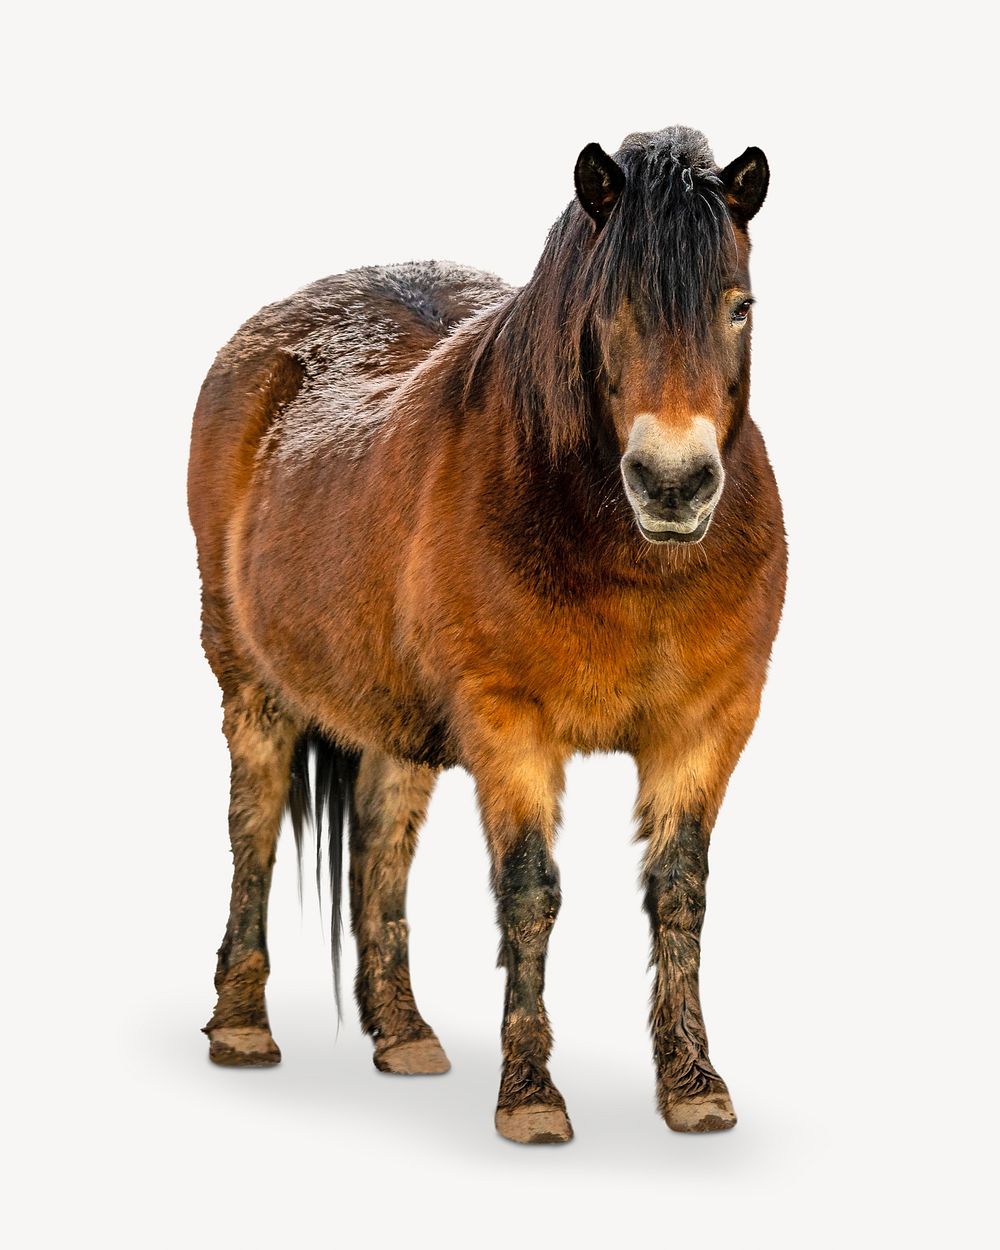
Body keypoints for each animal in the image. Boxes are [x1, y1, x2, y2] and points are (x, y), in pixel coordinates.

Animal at [187, 124, 786, 1144]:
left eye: (739, 306)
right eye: (609, 310)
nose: (672, 485)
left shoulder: (707, 728)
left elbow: (679, 892)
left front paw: (694, 1086)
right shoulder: (511, 727)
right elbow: (531, 893)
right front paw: (532, 1099)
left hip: (395, 724)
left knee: (382, 845)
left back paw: (403, 1035)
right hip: (251, 685)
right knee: (253, 828)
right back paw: (241, 1027)